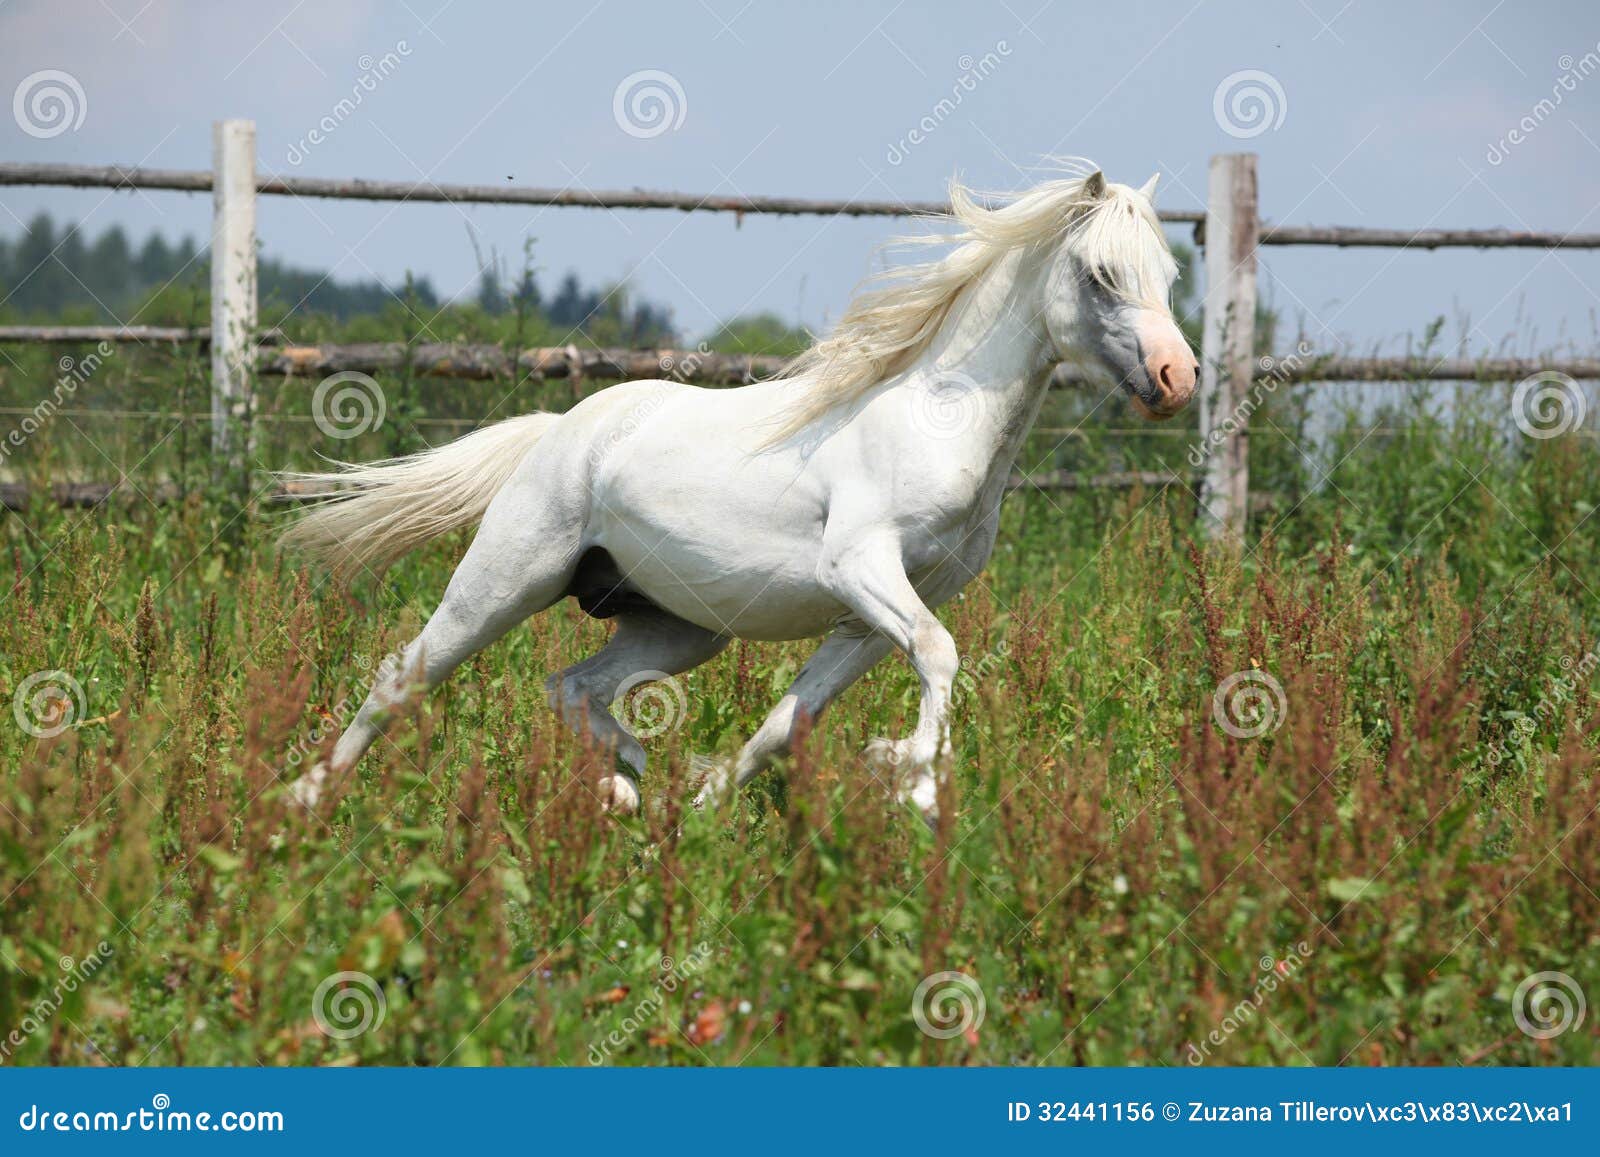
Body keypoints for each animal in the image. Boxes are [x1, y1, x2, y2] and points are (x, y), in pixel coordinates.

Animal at [281, 168, 1196, 820]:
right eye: (1102, 273)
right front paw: (914, 781)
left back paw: (628, 781)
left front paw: (708, 798)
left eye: (1169, 271)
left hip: (677, 625)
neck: (936, 417)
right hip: (505, 581)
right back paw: (301, 801)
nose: (1176, 377)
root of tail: (558, 432)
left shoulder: (876, 614)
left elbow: (789, 721)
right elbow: (939, 655)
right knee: (403, 677)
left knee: (572, 685)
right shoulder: (863, 569)